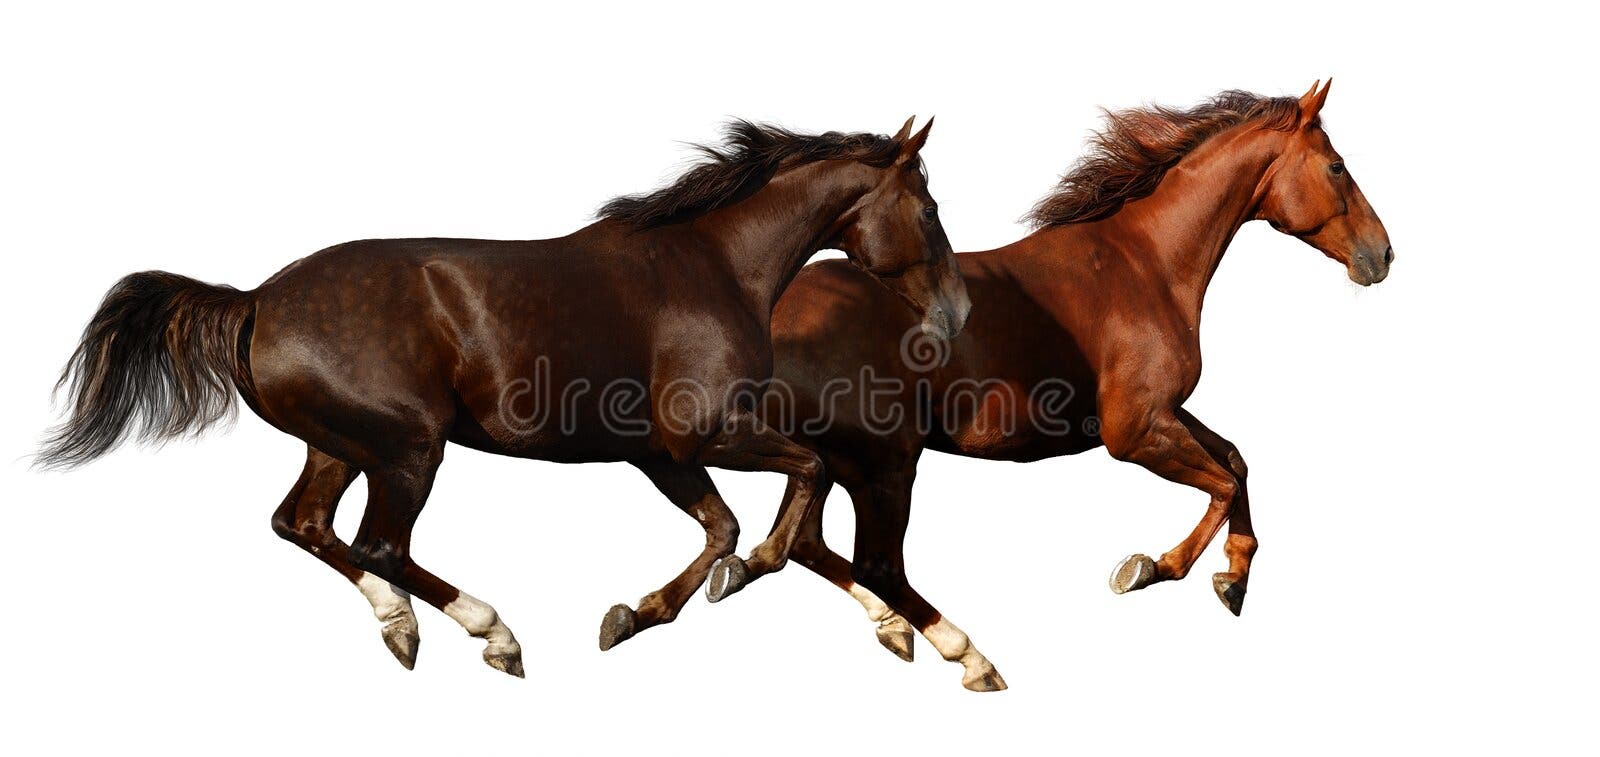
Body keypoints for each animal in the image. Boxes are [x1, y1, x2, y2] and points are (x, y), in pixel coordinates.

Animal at [38, 117, 971, 678]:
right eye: (927, 206)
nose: (957, 312)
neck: (711, 267)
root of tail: (256, 298)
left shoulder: (656, 454)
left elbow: (724, 525)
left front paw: (635, 614)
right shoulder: (696, 434)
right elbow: (793, 486)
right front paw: (741, 577)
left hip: (341, 444)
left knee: (303, 524)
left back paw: (403, 628)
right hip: (410, 449)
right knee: (377, 543)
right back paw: (493, 633)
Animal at [699, 81, 1393, 690]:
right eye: (1336, 167)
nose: (1382, 256)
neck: (1146, 263)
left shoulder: (1159, 415)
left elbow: (1237, 462)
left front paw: (1235, 579)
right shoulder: (1134, 432)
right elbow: (1221, 484)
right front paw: (1149, 569)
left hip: (832, 460)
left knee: (802, 544)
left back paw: (872, 622)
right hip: (886, 462)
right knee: (872, 562)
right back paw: (970, 658)